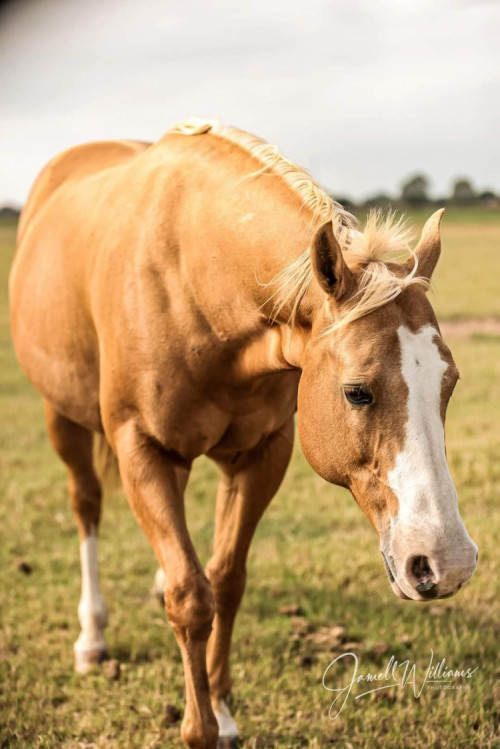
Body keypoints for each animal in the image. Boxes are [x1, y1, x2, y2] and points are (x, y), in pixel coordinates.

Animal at [9, 117, 478, 748]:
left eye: (449, 384)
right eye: (357, 391)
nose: (446, 561)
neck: (193, 280)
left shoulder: (262, 454)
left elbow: (224, 582)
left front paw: (224, 711)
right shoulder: (142, 450)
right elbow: (190, 597)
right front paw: (198, 728)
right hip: (62, 416)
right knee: (86, 507)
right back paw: (92, 637)